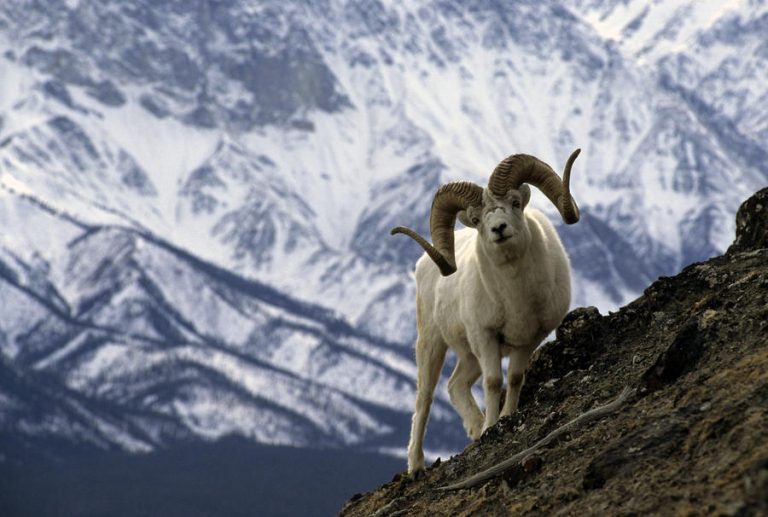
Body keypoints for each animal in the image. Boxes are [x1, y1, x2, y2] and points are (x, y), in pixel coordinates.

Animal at [391, 149, 581, 475]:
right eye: (478, 219)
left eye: (515, 203)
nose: (498, 229)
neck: (518, 296)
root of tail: (422, 265)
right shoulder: (486, 337)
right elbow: (493, 383)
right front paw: (492, 427)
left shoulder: (527, 340)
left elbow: (515, 378)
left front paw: (504, 419)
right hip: (432, 343)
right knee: (424, 398)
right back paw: (416, 466)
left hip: (469, 355)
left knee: (455, 386)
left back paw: (475, 428)